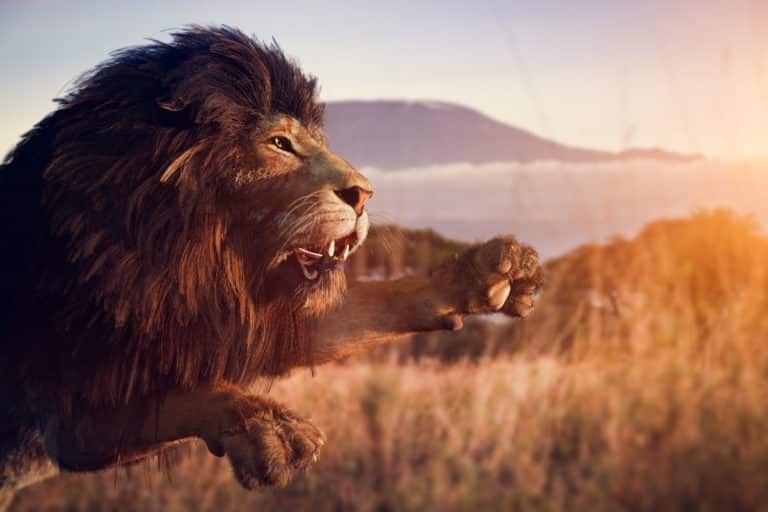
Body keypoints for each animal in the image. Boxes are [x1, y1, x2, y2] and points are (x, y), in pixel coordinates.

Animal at [0, 26, 542, 509]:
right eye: (280, 144)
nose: (365, 194)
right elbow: (181, 396)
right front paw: (266, 426)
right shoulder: (69, 414)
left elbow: (376, 301)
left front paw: (488, 274)